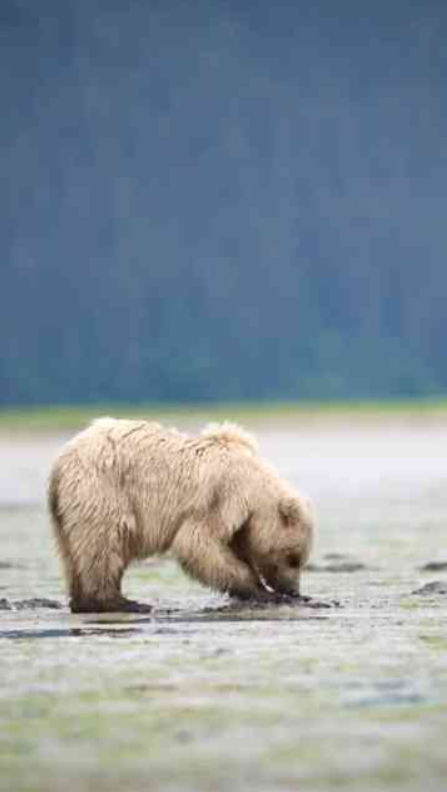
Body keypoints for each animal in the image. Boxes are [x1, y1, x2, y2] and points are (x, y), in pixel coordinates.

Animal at [48, 418, 314, 613]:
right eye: (293, 558)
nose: (293, 590)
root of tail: (59, 465)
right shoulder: (223, 495)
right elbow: (197, 543)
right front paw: (262, 592)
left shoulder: (239, 521)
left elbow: (231, 548)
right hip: (103, 491)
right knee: (104, 543)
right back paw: (121, 602)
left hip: (67, 513)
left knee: (73, 553)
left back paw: (82, 601)